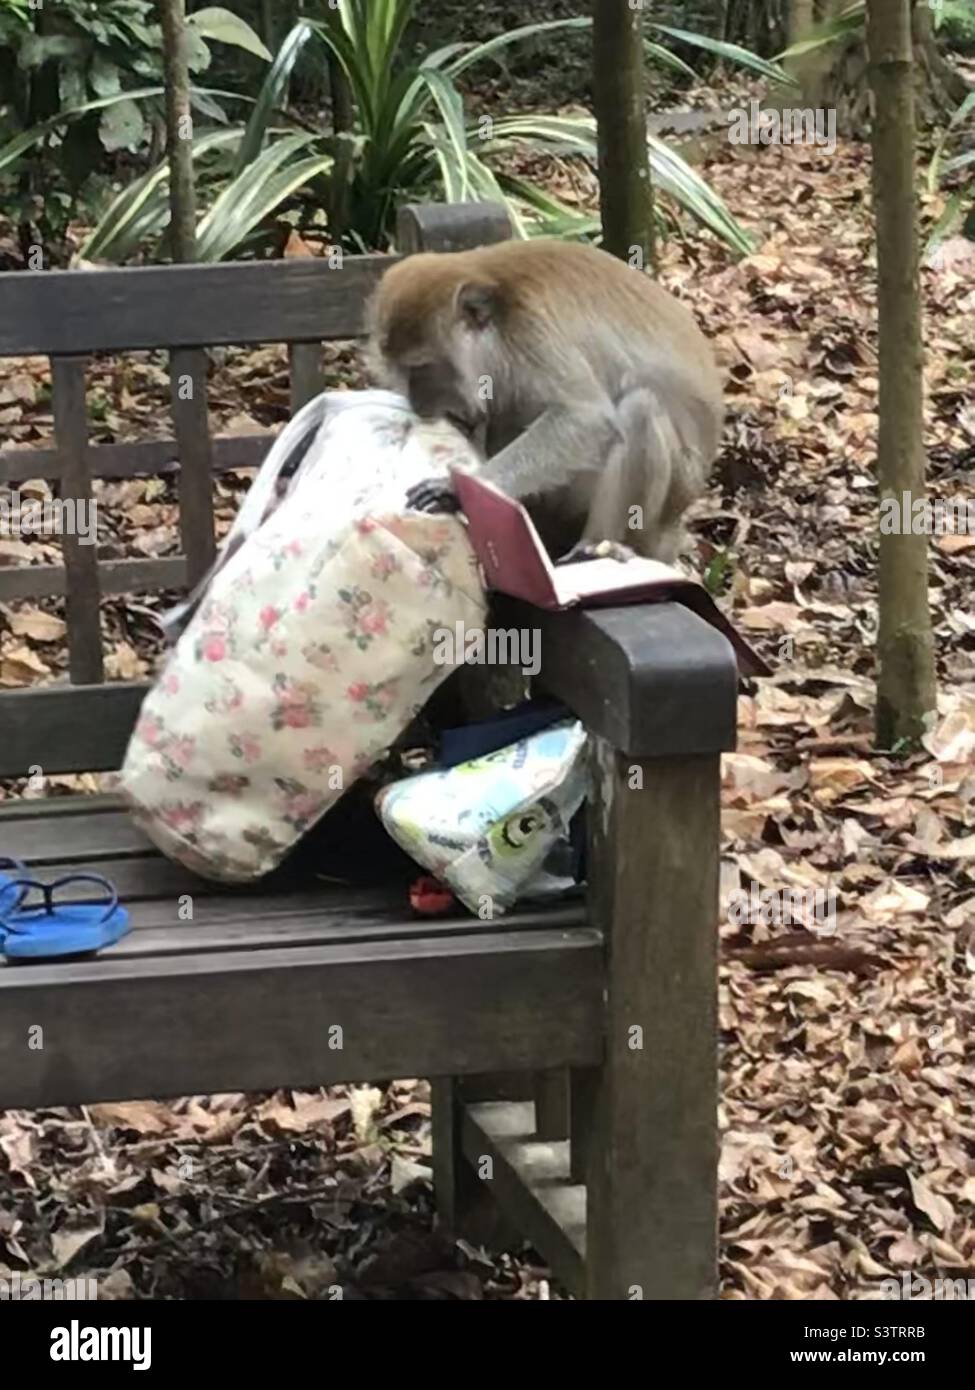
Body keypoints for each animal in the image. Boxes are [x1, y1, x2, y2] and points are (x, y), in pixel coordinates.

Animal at [367, 238, 723, 564]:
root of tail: (672, 530)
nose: (418, 405)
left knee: (640, 408)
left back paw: (597, 546)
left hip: (664, 504)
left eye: (422, 367)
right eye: (400, 370)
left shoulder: (532, 332)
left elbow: (586, 417)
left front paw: (463, 486)